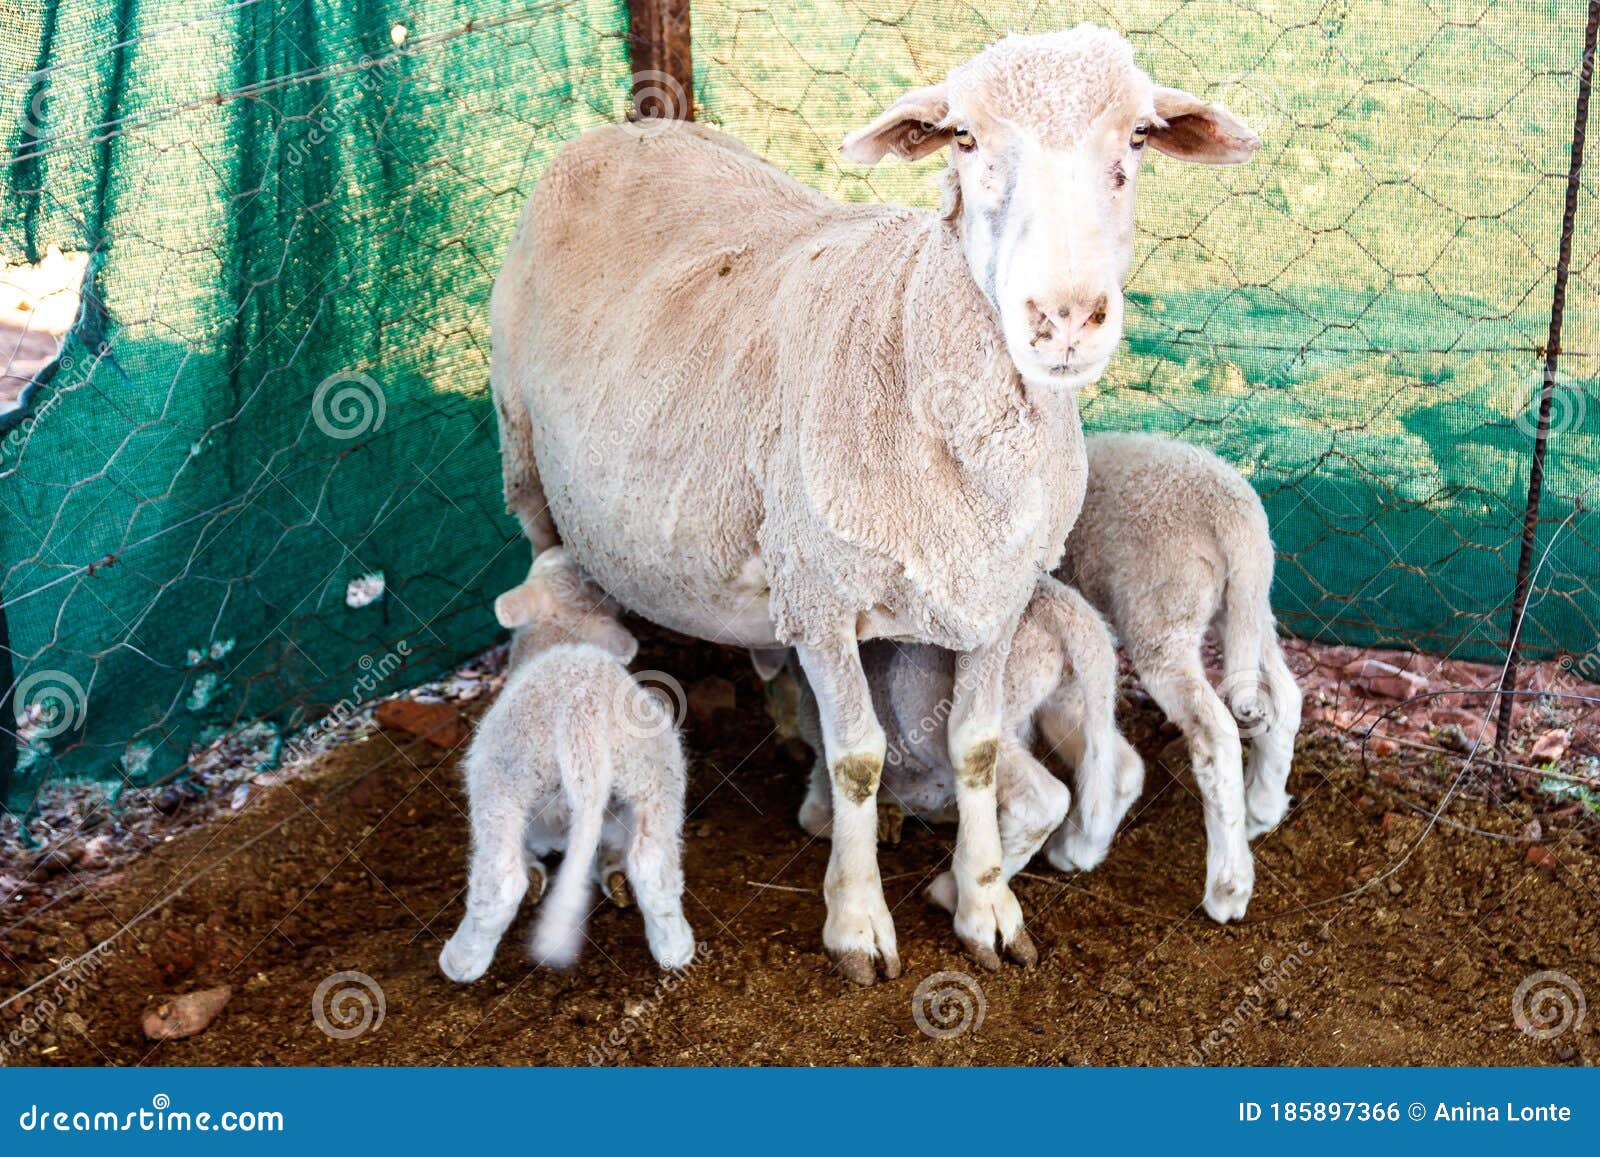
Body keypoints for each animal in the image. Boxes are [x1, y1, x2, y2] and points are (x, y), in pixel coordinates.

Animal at [438, 550, 695, 981]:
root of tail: (580, 716)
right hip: (654, 773)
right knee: (651, 865)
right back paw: (675, 949)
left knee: (502, 879)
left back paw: (461, 962)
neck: (561, 632)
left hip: (501, 779)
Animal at [788, 577, 1145, 957]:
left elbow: (817, 809)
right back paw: (1072, 851)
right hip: (1067, 697)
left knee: (1042, 800)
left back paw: (951, 891)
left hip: (969, 713)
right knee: (1124, 769)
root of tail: (1062, 608)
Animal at [1045, 433, 1302, 922]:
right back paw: (1262, 808)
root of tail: (1235, 516)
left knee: (1216, 731)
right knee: (1285, 695)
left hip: (1162, 618)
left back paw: (1228, 888)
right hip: (1244, 608)